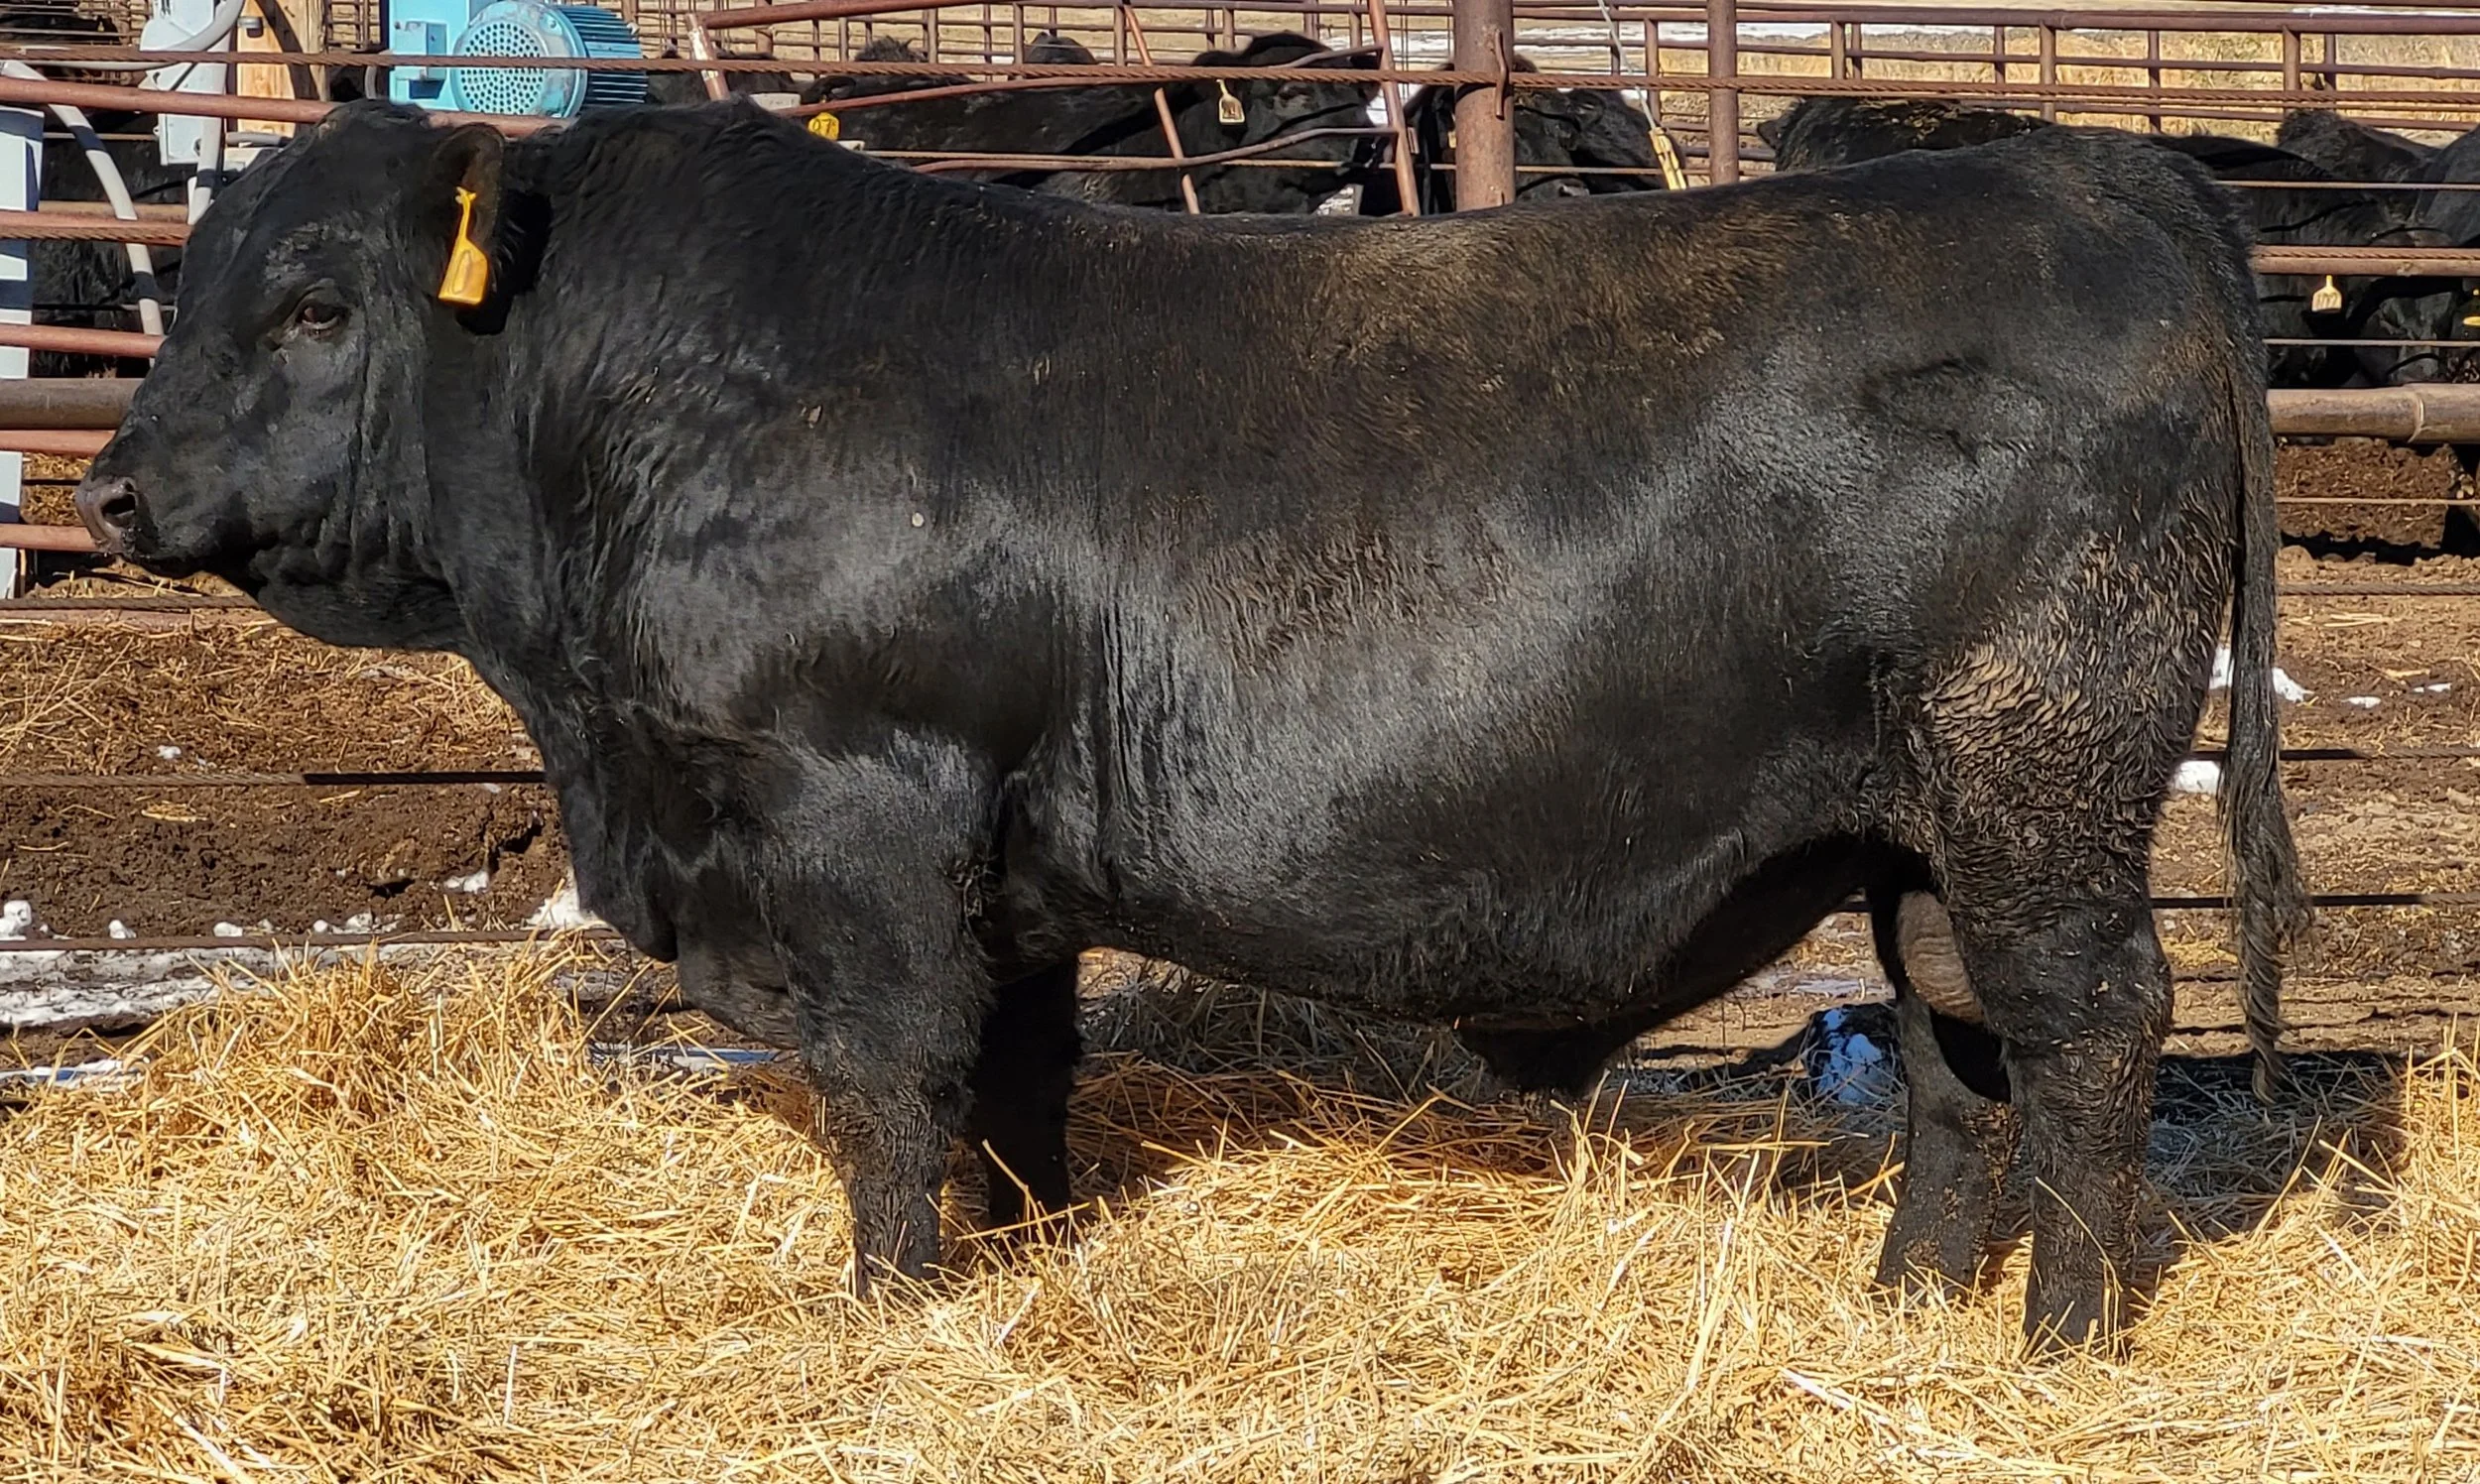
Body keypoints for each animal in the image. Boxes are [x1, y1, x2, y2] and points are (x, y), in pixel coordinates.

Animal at [75, 100, 2305, 1353]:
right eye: (192, 291)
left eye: (315, 308)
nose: (106, 490)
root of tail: (2077, 165)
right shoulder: (1000, 862)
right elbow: (1015, 1073)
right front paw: (1014, 1261)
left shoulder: (857, 807)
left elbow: (889, 1069)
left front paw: (890, 1306)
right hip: (1918, 822)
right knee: (1953, 1045)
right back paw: (1915, 1309)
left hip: (2039, 781)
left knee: (2088, 1023)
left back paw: (2061, 1335)